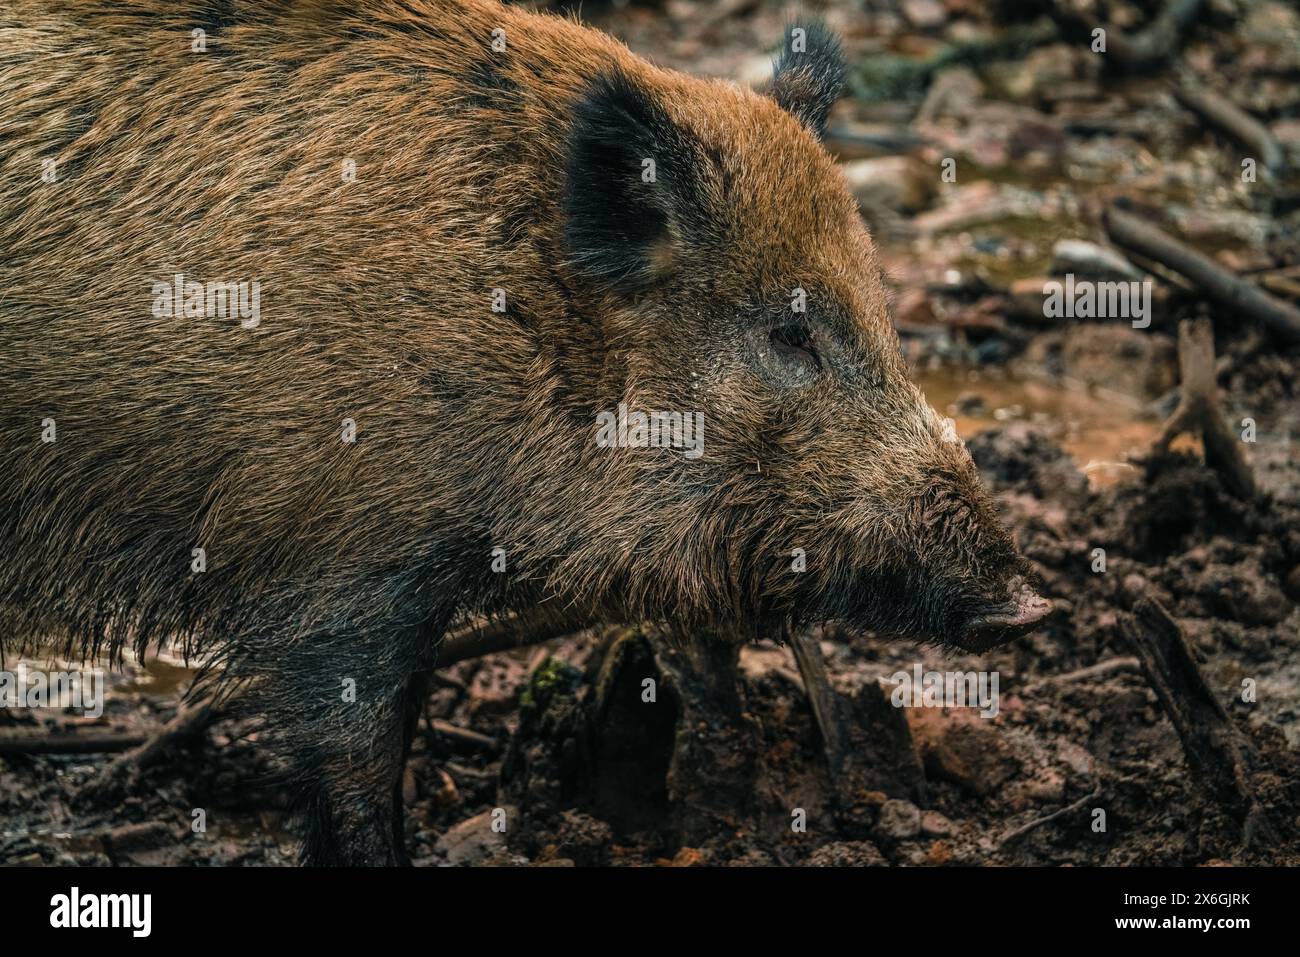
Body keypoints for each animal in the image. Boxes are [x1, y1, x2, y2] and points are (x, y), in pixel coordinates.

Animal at [0, 0, 1050, 864]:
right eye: (789, 332)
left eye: (882, 309)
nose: (1028, 601)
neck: (532, 325)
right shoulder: (338, 576)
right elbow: (356, 773)